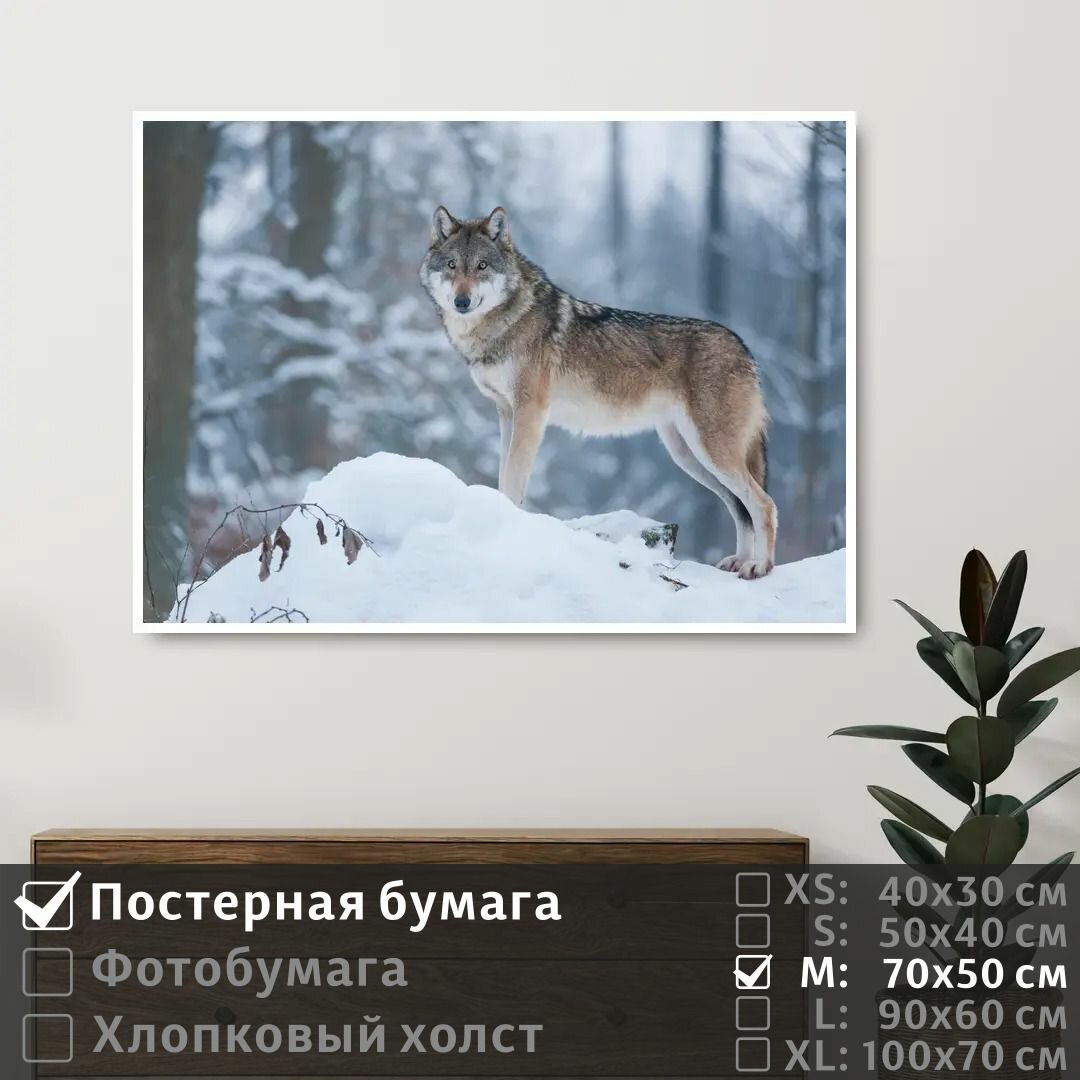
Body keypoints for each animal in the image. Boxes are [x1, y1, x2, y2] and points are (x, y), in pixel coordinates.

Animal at [419, 205, 778, 578]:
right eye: (452, 266)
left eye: (482, 266)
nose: (462, 301)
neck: (503, 323)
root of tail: (745, 349)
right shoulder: (506, 413)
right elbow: (504, 475)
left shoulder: (531, 412)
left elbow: (514, 480)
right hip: (688, 454)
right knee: (739, 506)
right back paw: (739, 561)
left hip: (711, 451)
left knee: (763, 503)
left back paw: (759, 566)